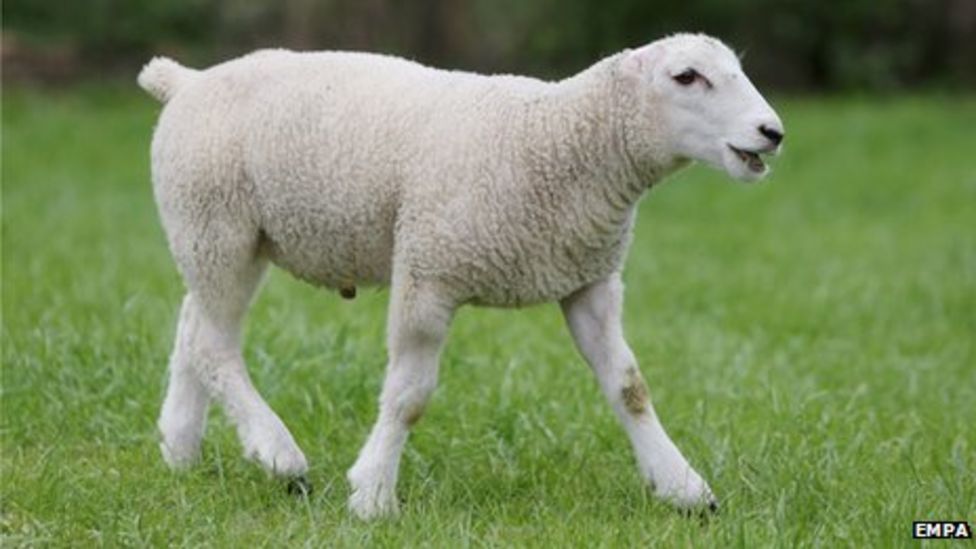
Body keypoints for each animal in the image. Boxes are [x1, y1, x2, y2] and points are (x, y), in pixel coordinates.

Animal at [139, 32, 784, 519]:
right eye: (687, 77)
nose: (772, 132)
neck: (559, 142)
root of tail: (186, 80)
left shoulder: (588, 279)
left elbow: (629, 387)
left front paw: (683, 488)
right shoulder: (429, 270)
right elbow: (408, 397)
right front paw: (373, 495)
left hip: (224, 236)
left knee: (192, 327)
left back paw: (181, 448)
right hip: (216, 222)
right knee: (214, 343)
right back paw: (278, 456)